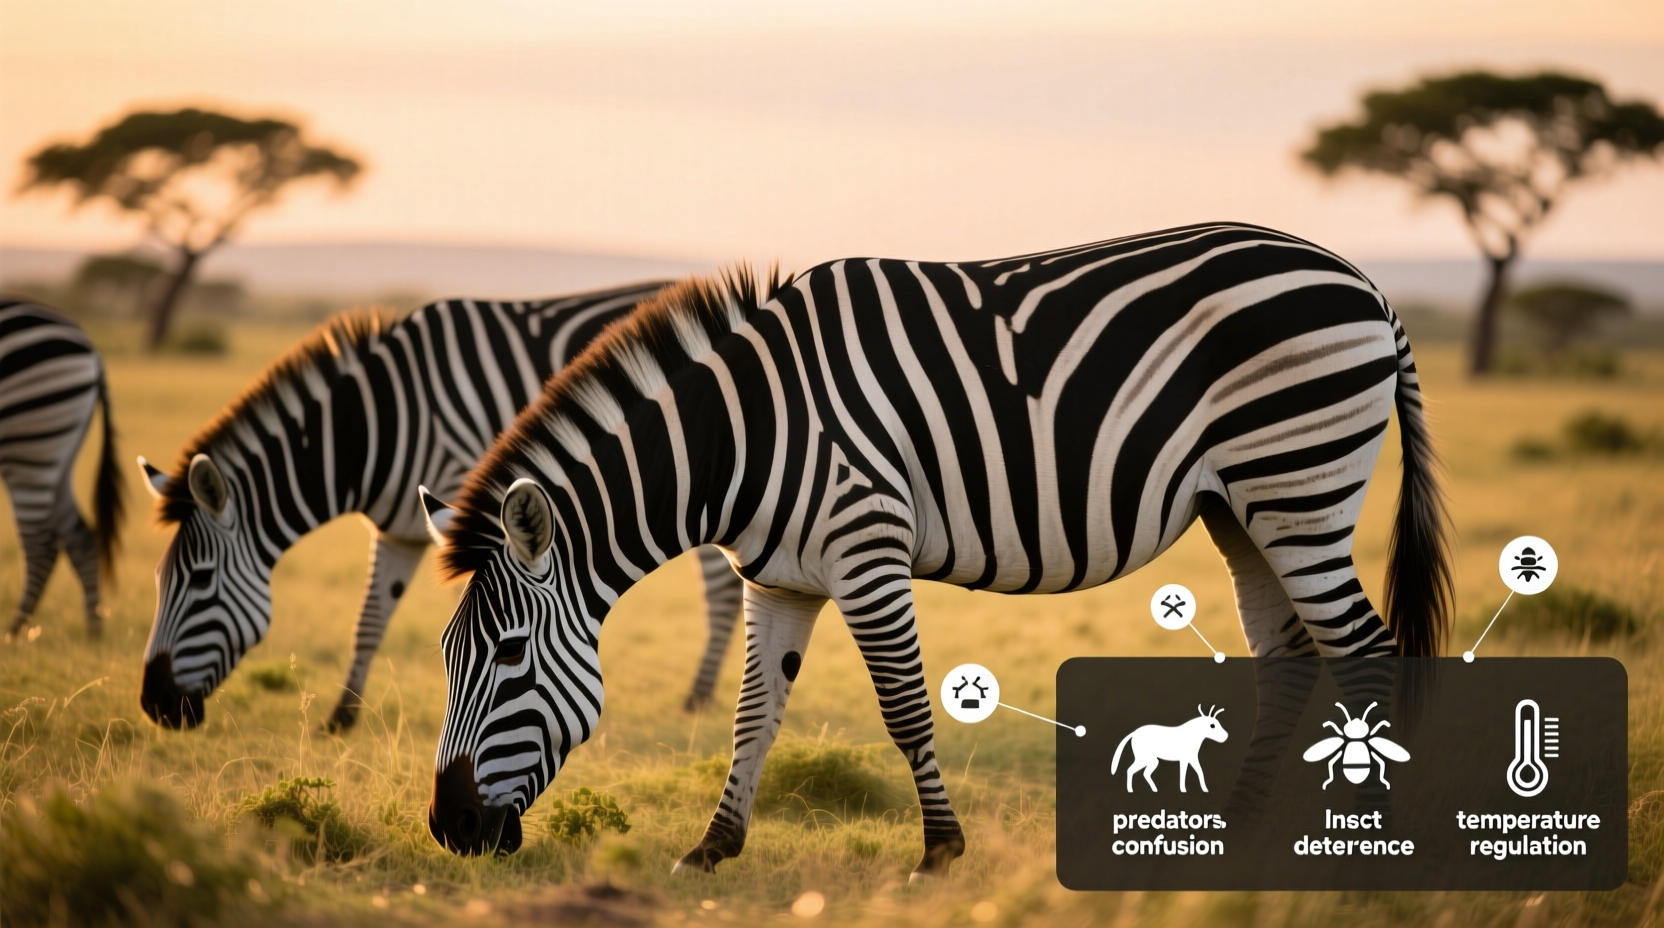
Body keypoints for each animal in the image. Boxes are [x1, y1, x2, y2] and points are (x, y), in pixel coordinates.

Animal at [1, 301, 124, 639]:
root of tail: (91, 348)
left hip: (30, 446)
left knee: (40, 544)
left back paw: (13, 632)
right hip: (58, 455)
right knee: (80, 536)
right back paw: (94, 628)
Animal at [136, 283, 745, 731]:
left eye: (201, 579)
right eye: (159, 581)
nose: (154, 706)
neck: (375, 425)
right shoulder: (401, 529)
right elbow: (369, 619)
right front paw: (341, 718)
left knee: (721, 589)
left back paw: (696, 698)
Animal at [418, 222, 1453, 879]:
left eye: (509, 655)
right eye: (445, 657)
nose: (451, 830)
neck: (745, 437)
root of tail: (1364, 283)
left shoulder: (865, 546)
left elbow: (906, 708)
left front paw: (941, 851)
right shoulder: (779, 579)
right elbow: (755, 715)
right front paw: (712, 848)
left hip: (1298, 484)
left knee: (1365, 653)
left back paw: (1369, 853)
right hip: (1243, 508)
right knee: (1290, 658)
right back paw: (1233, 837)